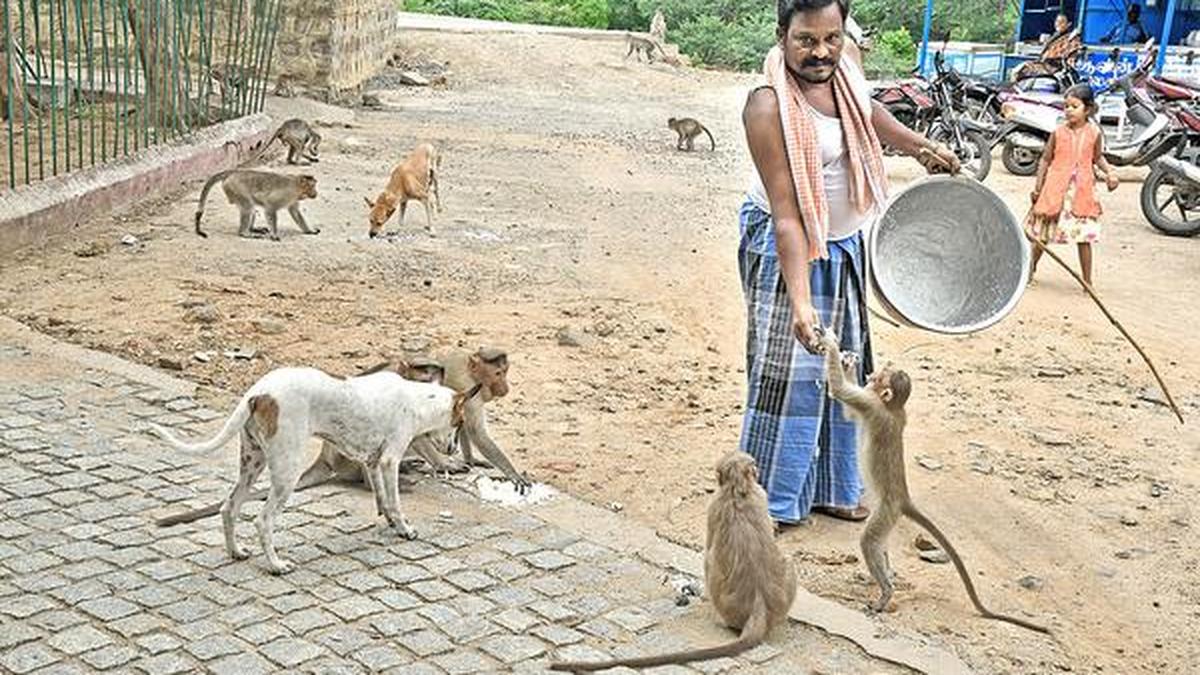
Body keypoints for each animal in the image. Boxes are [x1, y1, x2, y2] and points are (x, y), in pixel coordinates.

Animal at [549, 451, 797, 671]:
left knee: (709, 560)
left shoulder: (715, 504)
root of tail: (759, 604)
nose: (757, 470)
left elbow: (708, 548)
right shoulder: (758, 496)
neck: (738, 489)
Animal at [816, 329, 1051, 635]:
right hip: (887, 516)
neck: (893, 407)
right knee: (879, 544)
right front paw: (848, 360)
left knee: (869, 540)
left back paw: (886, 591)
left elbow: (840, 391)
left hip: (886, 512)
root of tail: (903, 500)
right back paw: (885, 578)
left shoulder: (871, 404)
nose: (871, 373)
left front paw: (833, 346)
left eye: (880, 377)